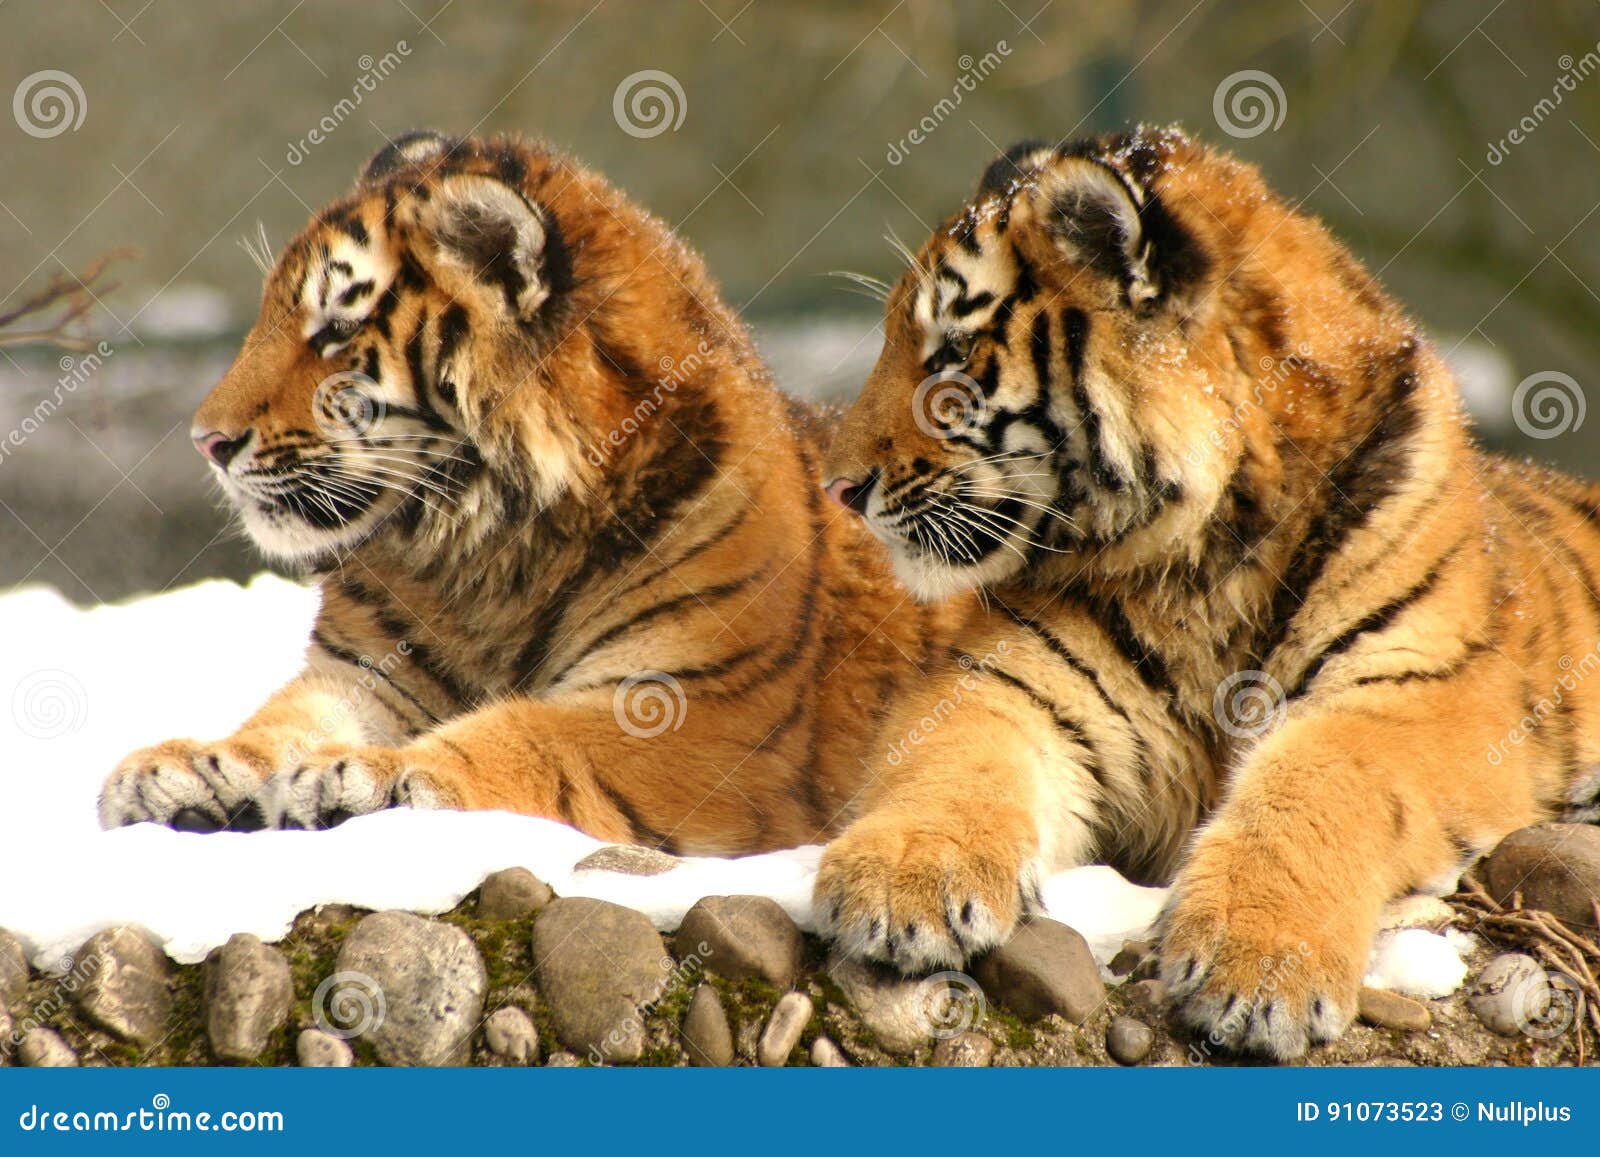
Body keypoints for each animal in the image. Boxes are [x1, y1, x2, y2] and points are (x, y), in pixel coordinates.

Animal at [98, 130, 969, 853]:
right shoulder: (365, 671)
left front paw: (372, 777)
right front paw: (186, 768)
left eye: (335, 333)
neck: (480, 551)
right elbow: (281, 718)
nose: (205, 440)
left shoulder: (696, 709)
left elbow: (527, 734)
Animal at [813, 125, 1600, 1059]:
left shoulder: (1422, 689)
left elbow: (1316, 779)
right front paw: (900, 878)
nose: (839, 486)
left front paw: (1256, 964)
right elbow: (950, 755)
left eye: (951, 357)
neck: (1210, 553)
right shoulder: (1016, 680)